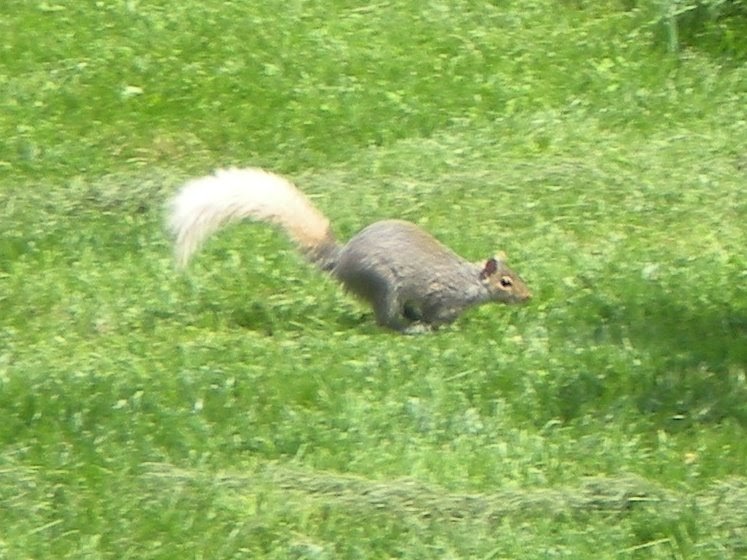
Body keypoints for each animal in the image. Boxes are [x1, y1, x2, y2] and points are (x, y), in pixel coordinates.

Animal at [167, 167, 531, 332]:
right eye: (506, 282)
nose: (528, 296)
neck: (467, 279)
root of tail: (342, 259)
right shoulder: (443, 297)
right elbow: (438, 315)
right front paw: (435, 328)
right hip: (383, 284)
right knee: (385, 318)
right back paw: (407, 328)